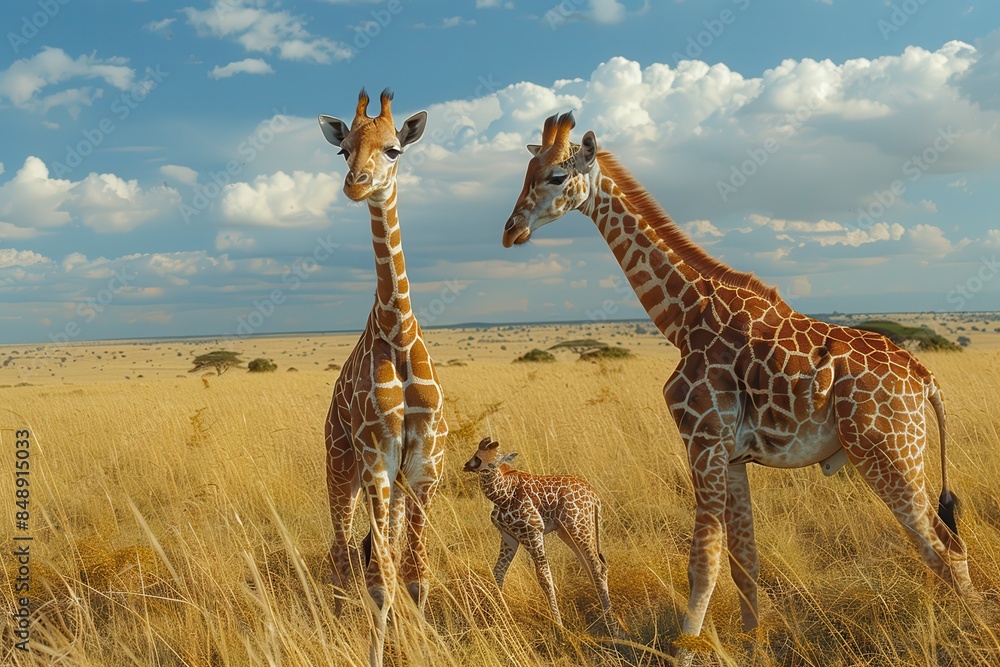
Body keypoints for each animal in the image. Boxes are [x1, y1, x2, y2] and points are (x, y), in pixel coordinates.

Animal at [463, 436, 612, 628]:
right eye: (477, 456)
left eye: (494, 462)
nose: (467, 466)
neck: (503, 494)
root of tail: (595, 497)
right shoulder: (509, 536)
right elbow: (498, 573)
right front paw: (494, 619)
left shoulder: (533, 532)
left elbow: (544, 577)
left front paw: (559, 627)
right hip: (568, 532)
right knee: (591, 567)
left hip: (579, 528)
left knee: (598, 567)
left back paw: (613, 626)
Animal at [498, 112, 976, 661]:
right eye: (526, 171)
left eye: (557, 175)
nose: (510, 231)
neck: (683, 318)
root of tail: (925, 378)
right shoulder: (732, 456)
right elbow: (745, 563)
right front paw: (755, 647)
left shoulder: (703, 442)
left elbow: (702, 564)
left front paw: (685, 652)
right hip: (897, 454)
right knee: (947, 547)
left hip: (888, 453)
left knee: (944, 548)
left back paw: (972, 634)